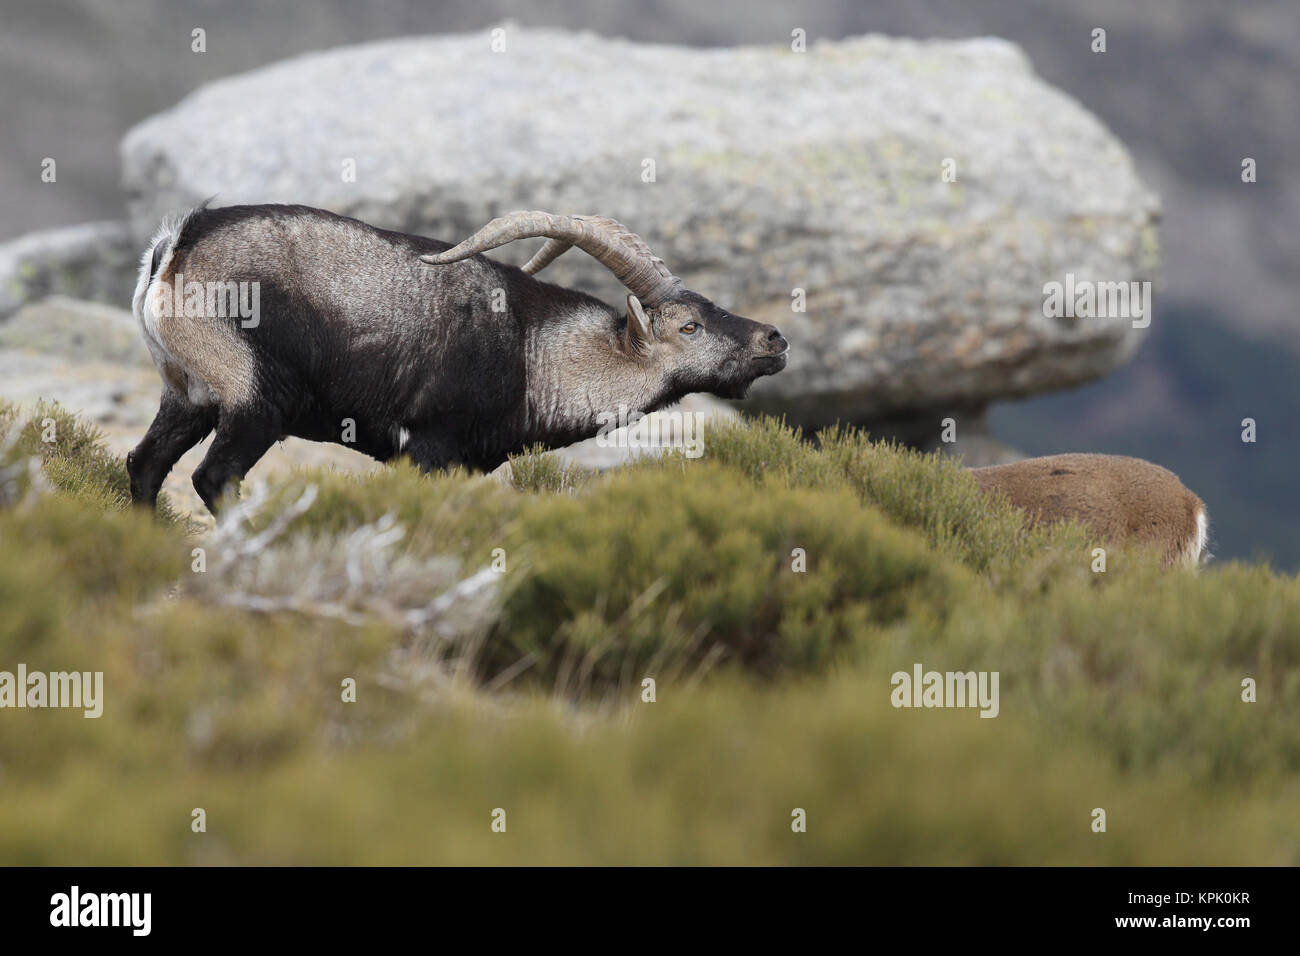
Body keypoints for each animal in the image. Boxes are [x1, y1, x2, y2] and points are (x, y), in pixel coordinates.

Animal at [126, 205, 788, 514]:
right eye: (689, 325)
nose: (775, 341)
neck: (533, 353)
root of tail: (176, 247)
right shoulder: (429, 443)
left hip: (188, 392)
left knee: (145, 463)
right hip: (255, 396)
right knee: (214, 477)